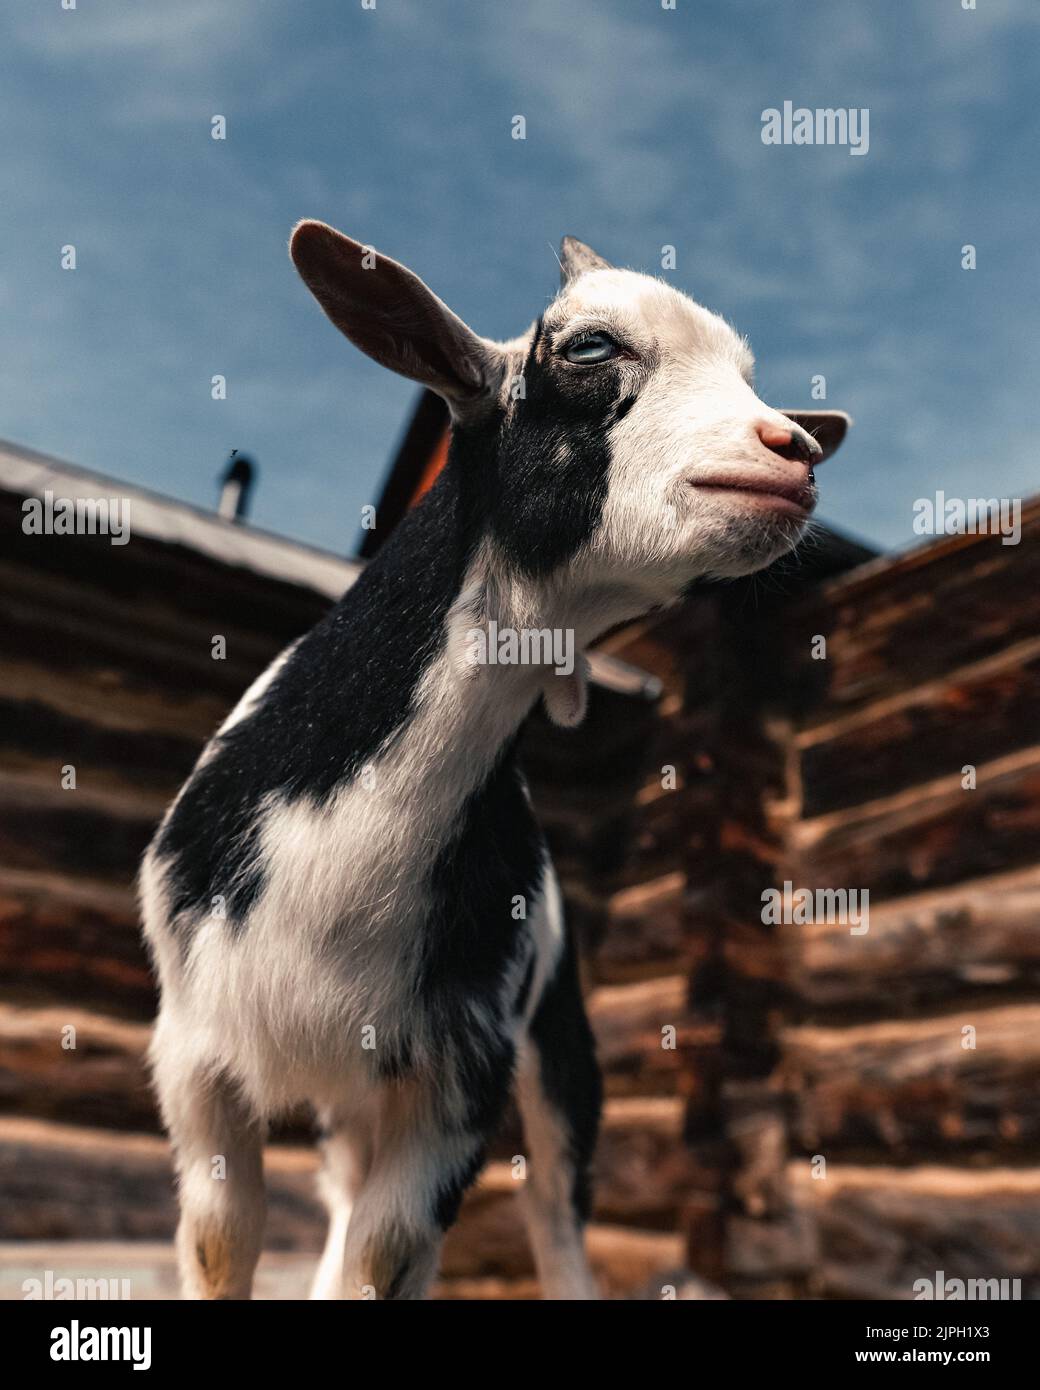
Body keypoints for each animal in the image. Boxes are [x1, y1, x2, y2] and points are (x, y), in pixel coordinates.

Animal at [139, 224, 849, 1300]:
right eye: (590, 345)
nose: (794, 453)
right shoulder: (196, 1066)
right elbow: (224, 1247)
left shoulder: (456, 1079)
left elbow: (388, 1257)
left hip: (555, 1050)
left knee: (552, 1206)